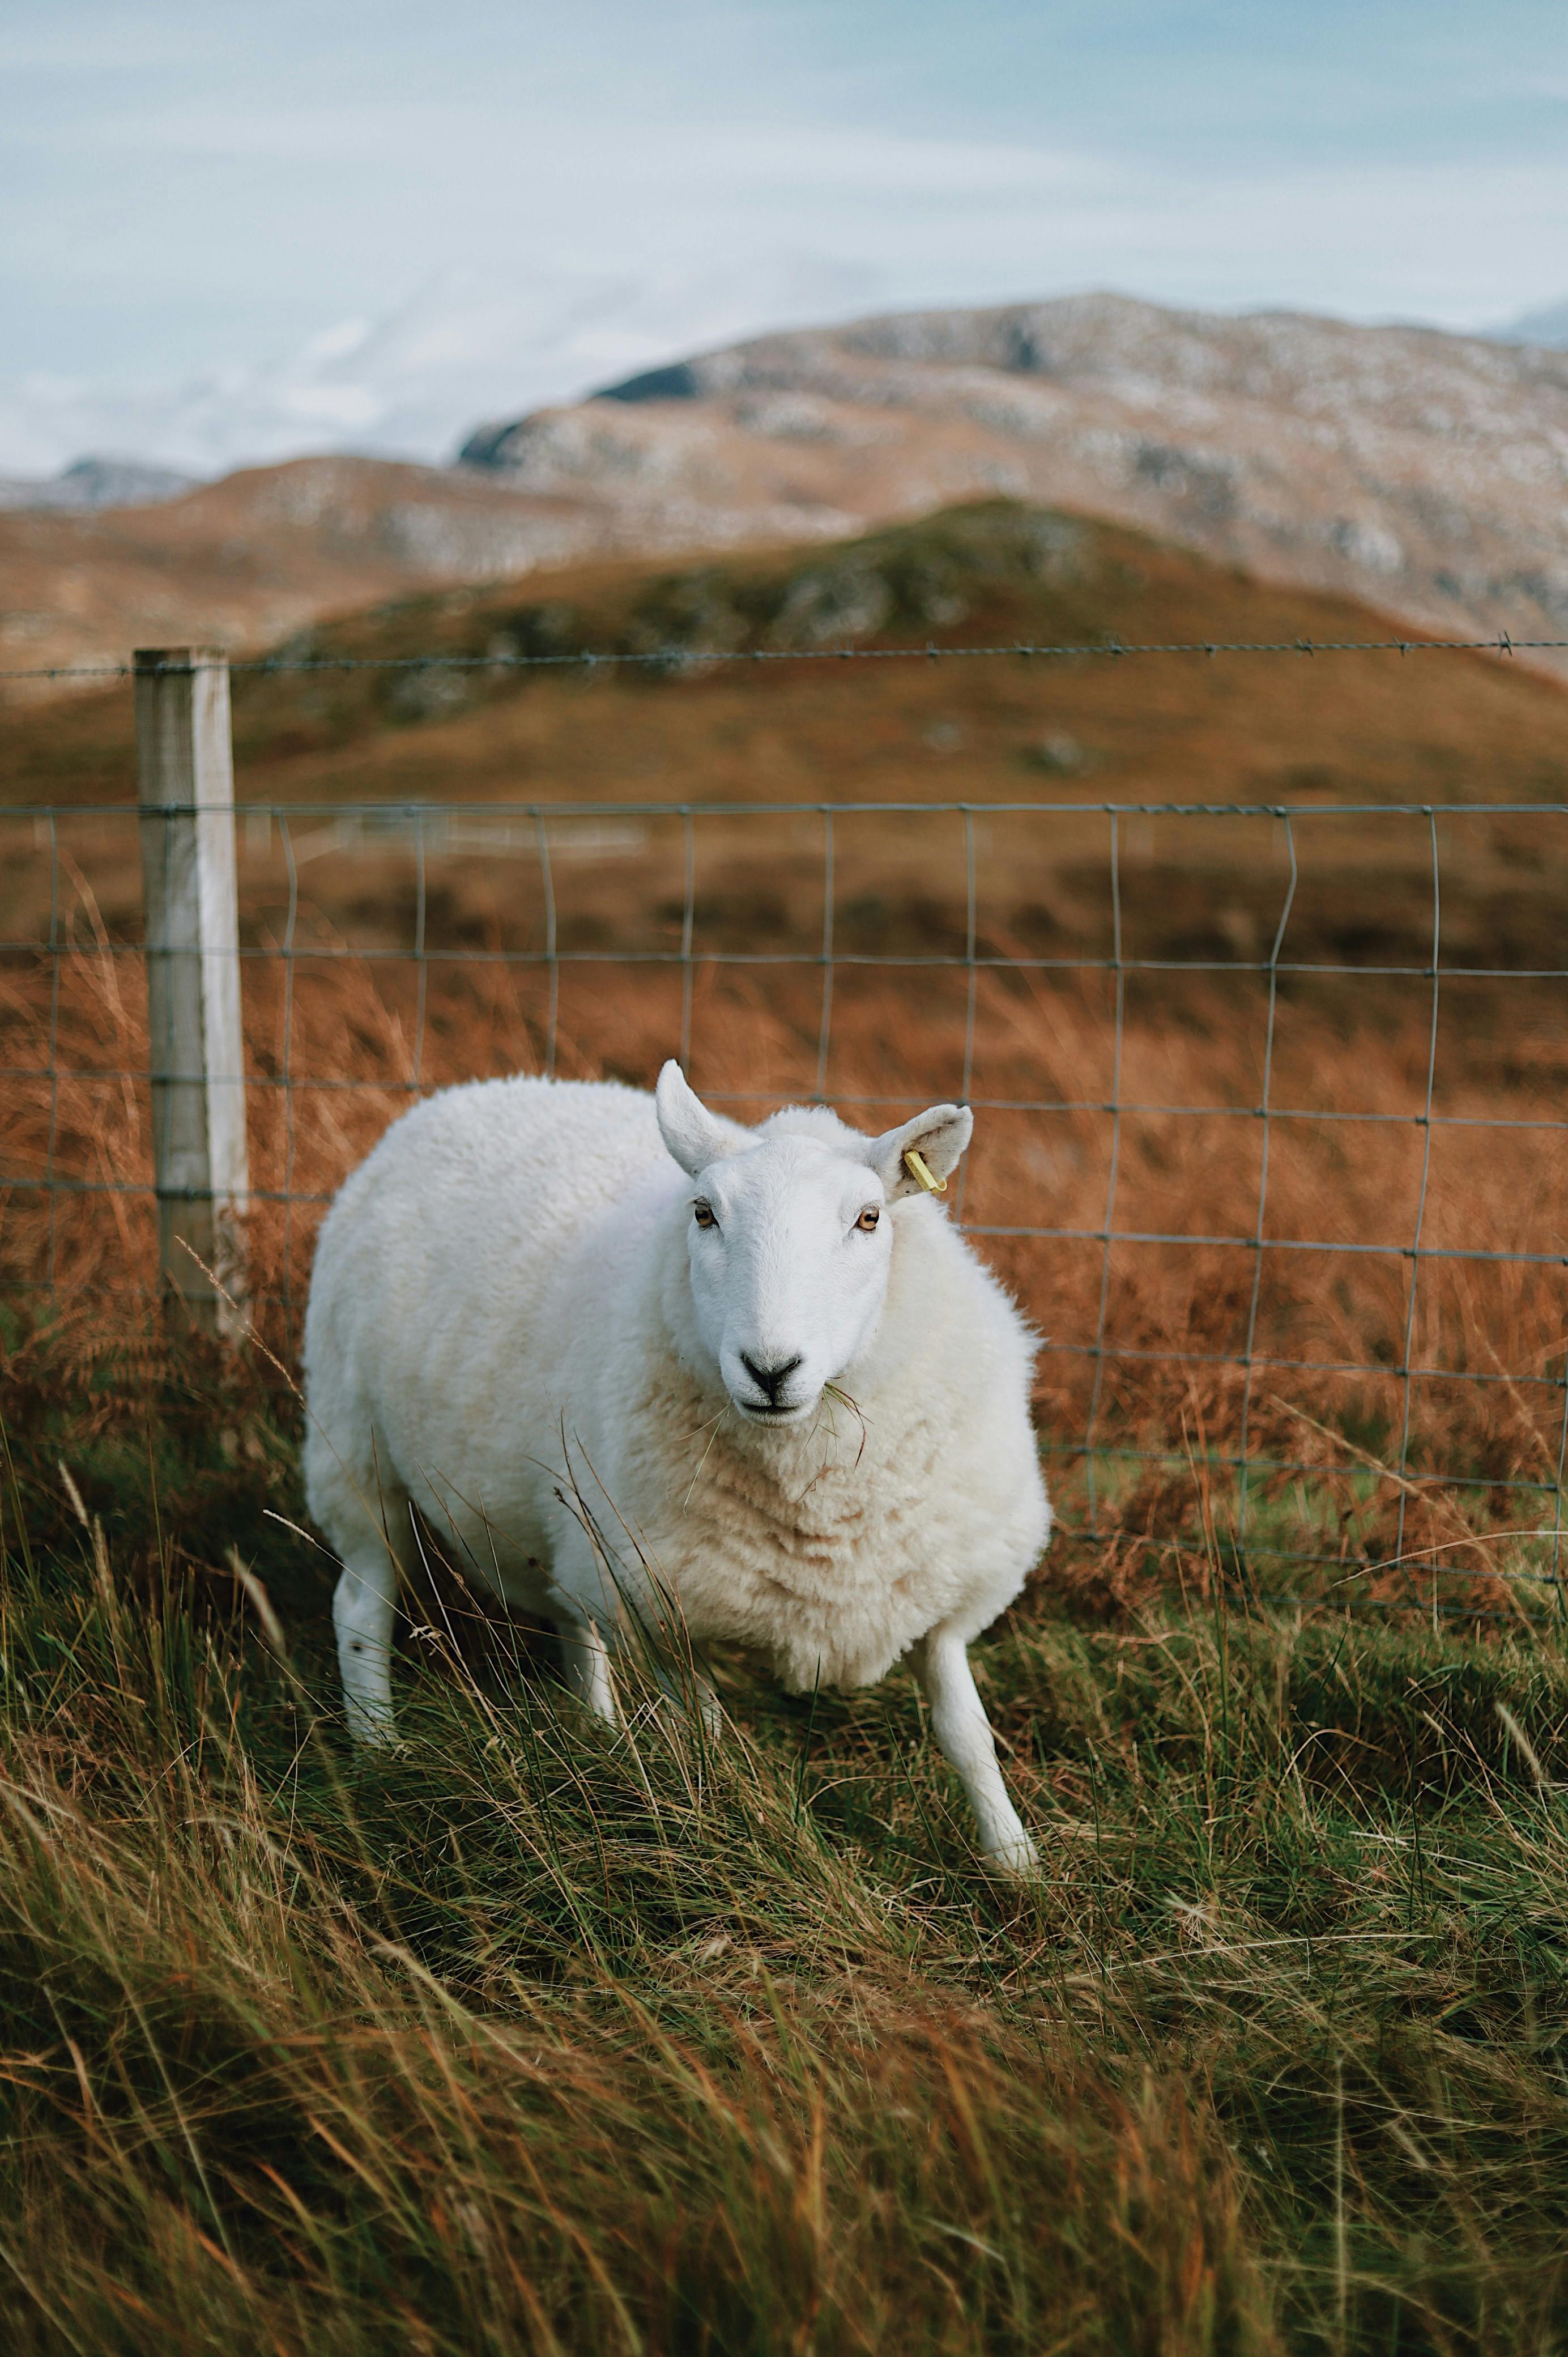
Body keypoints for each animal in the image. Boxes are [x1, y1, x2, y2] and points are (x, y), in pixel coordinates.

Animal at [302, 1062, 1051, 1874]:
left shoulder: (937, 1587)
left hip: (570, 1515)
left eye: (869, 1218)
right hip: (356, 1451)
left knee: (571, 1618)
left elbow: (967, 1735)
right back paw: (379, 1752)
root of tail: (469, 1091)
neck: (817, 1489)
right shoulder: (667, 1609)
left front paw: (1016, 1865)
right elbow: (709, 1745)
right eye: (703, 1213)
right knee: (360, 1608)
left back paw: (596, 1732)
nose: (770, 1368)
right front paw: (744, 1837)